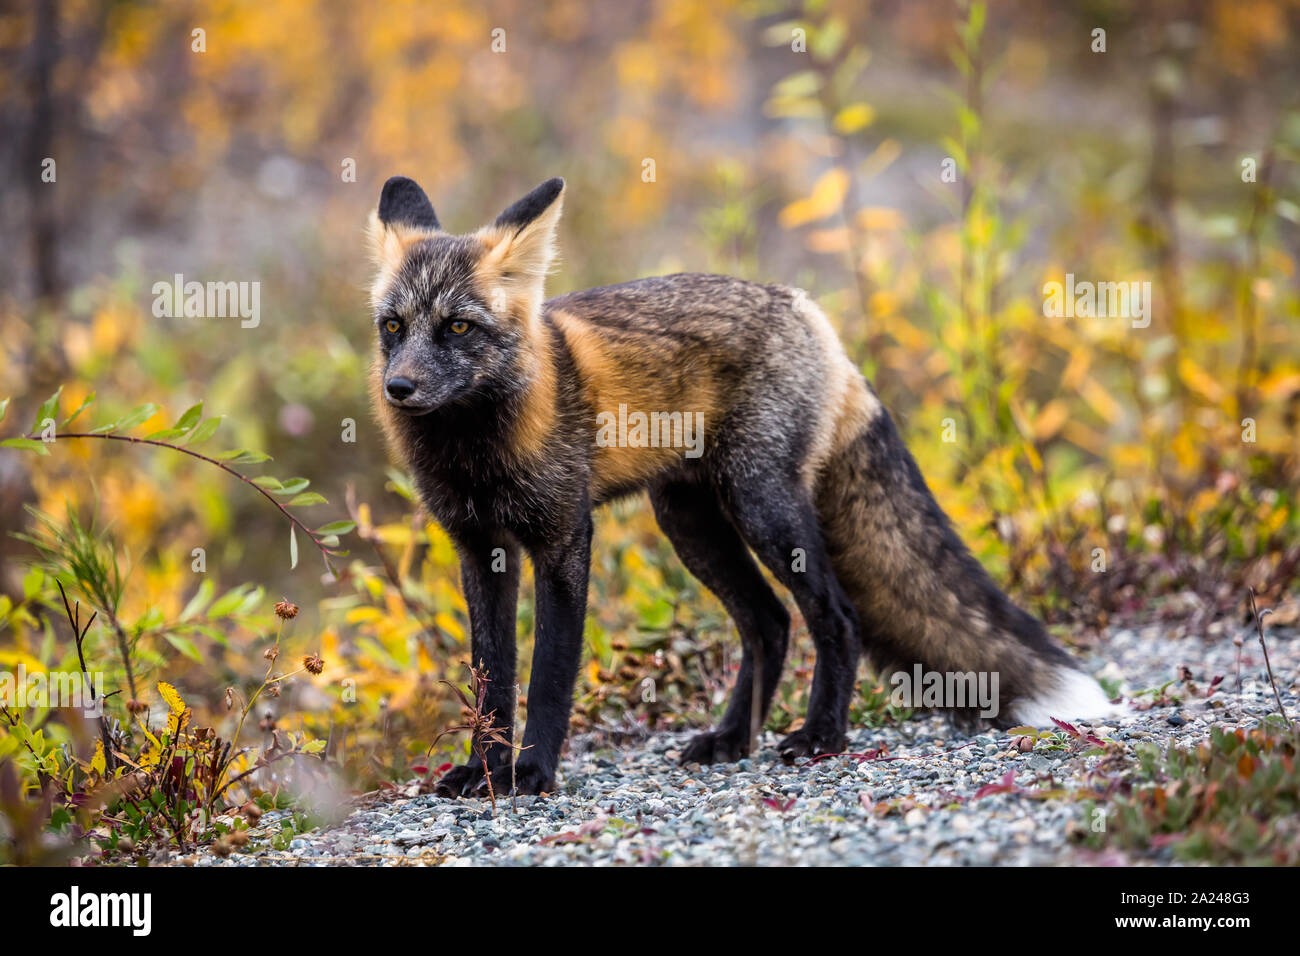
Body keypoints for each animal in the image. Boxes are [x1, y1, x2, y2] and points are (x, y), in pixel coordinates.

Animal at [367, 174, 1114, 797]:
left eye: (458, 326)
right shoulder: (479, 548)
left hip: (762, 508)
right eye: (393, 327)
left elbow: (549, 674)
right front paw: (482, 771)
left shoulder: (562, 539)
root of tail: (808, 311)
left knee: (833, 615)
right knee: (770, 622)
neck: (478, 453)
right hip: (690, 522)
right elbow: (490, 679)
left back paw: (821, 736)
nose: (397, 388)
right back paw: (733, 737)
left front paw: (531, 774)